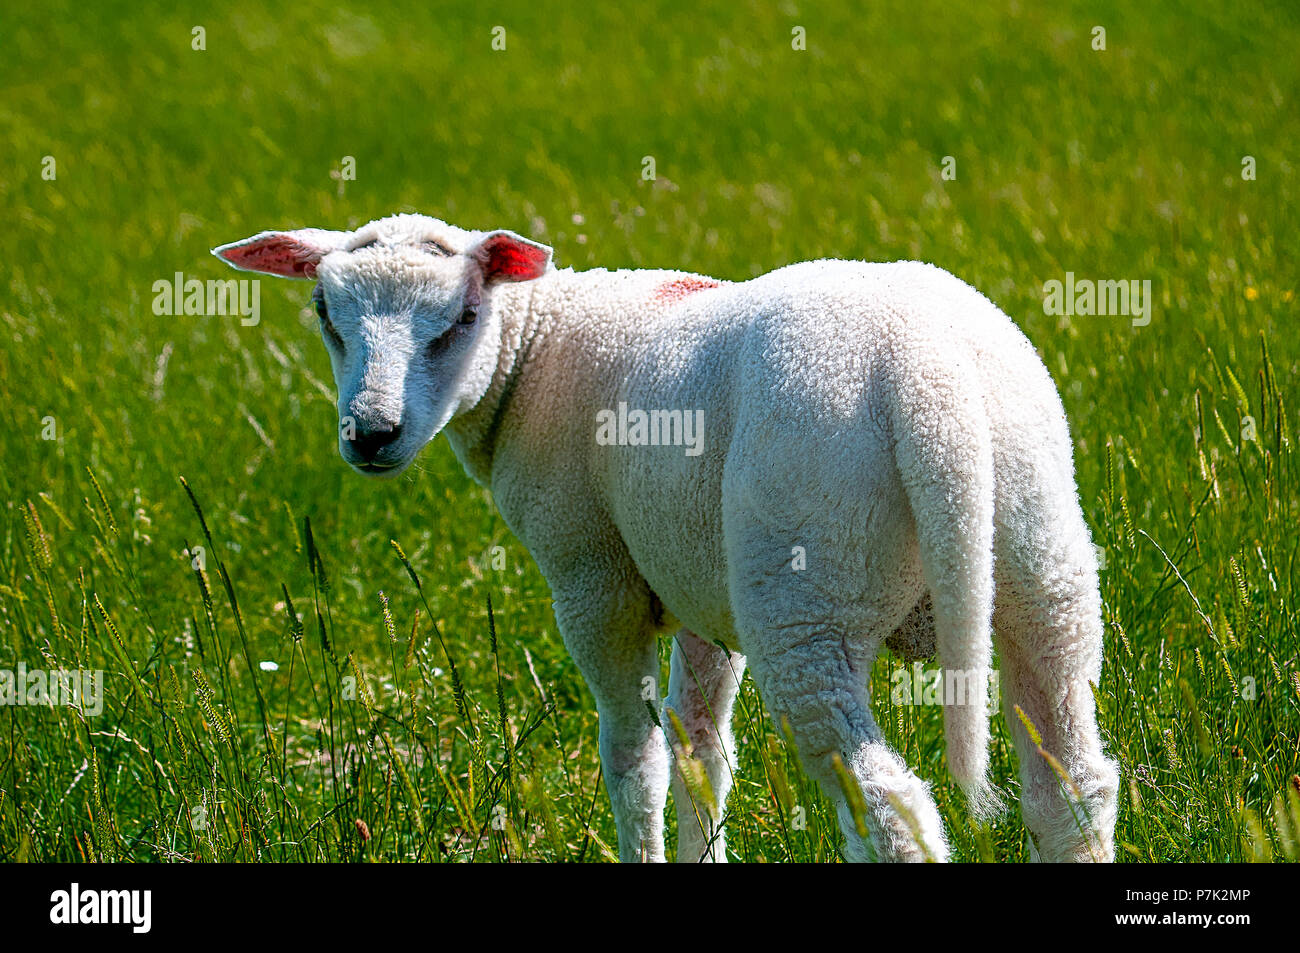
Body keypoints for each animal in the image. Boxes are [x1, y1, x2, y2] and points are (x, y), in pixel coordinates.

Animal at [214, 213, 1119, 863]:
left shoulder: (594, 580)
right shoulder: (697, 584)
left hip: (804, 591)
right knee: (1071, 786)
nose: (370, 434)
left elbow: (635, 760)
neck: (535, 350)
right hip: (1044, 560)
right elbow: (700, 755)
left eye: (461, 318)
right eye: (325, 316)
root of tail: (931, 382)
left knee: (891, 810)